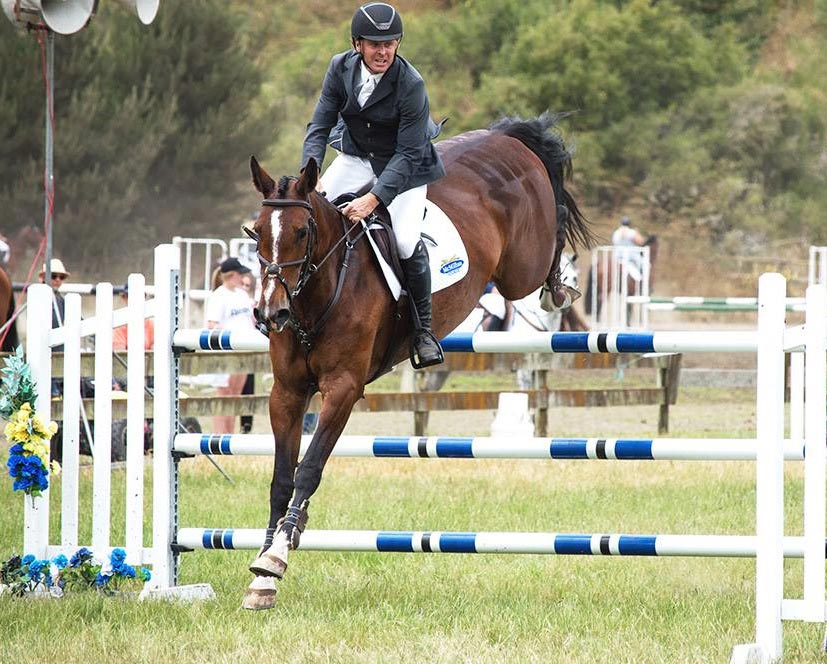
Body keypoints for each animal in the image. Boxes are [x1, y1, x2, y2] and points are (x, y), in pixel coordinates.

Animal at [240, 115, 592, 610]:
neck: (317, 296)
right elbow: (280, 479)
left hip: (522, 267)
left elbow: (308, 468)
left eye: (302, 233)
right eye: (256, 231)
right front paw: (265, 569)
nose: (271, 314)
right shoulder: (287, 393)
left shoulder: (343, 389)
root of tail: (505, 136)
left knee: (550, 244)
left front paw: (275, 558)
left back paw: (560, 287)